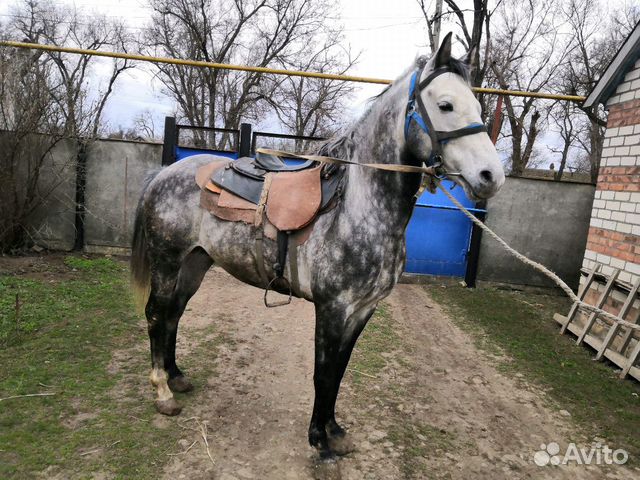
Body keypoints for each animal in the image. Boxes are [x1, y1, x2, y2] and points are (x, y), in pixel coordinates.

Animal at [130, 33, 505, 461]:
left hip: (195, 263)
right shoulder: (332, 308)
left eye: (479, 106)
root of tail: (165, 173)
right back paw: (162, 391)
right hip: (167, 262)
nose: (491, 176)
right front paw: (319, 440)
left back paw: (177, 377)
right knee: (156, 314)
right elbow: (322, 373)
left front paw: (335, 431)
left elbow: (338, 372)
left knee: (174, 312)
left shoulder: (362, 310)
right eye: (445, 105)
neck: (356, 209)